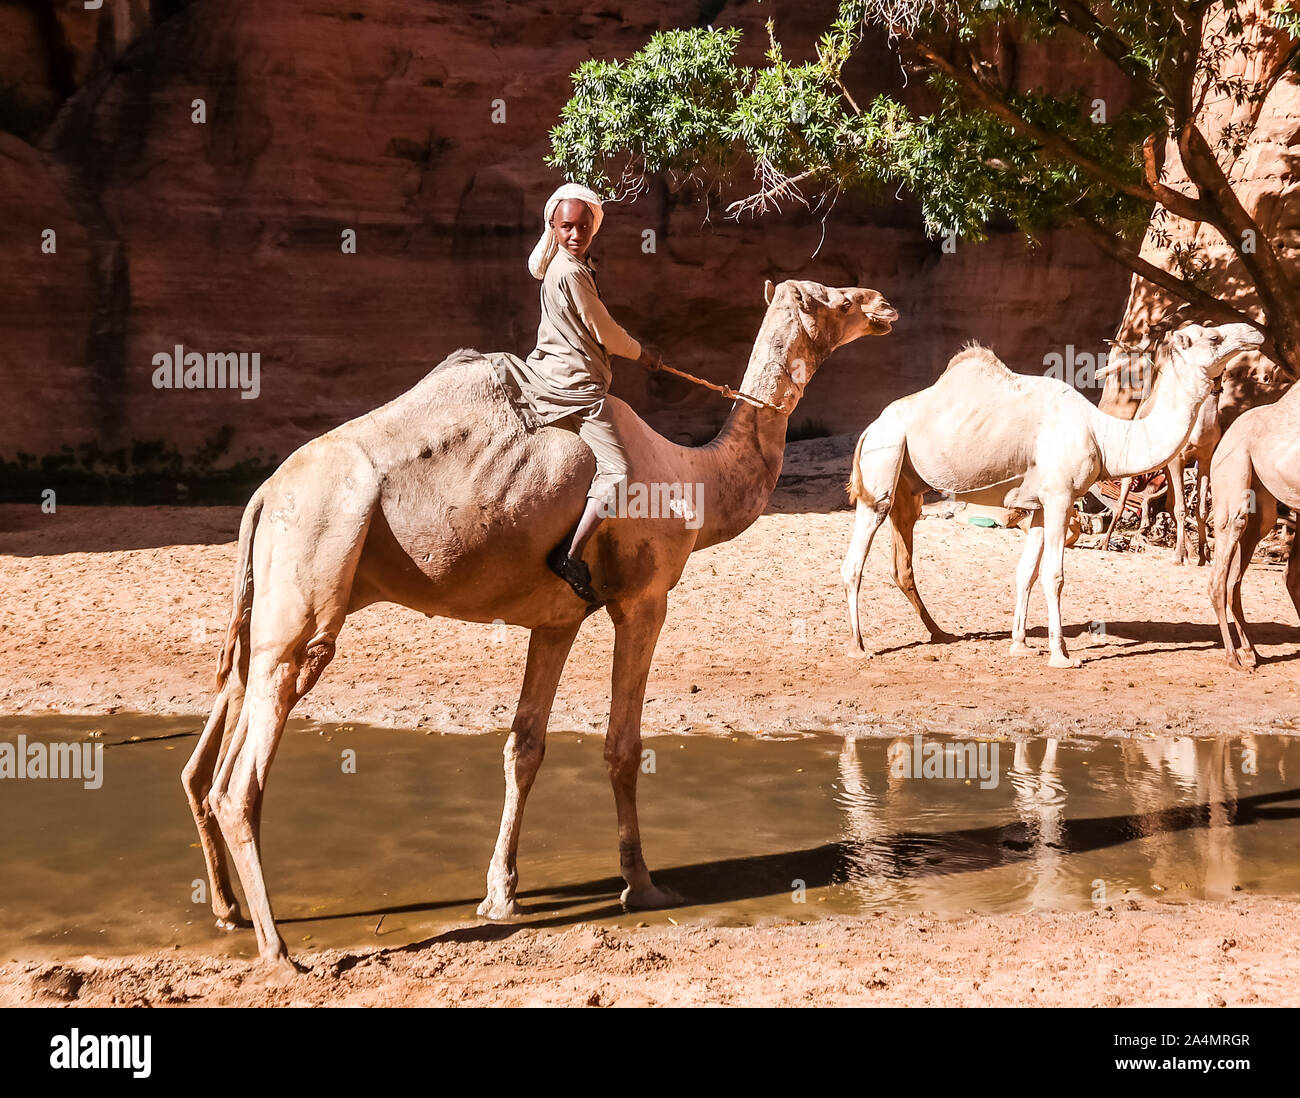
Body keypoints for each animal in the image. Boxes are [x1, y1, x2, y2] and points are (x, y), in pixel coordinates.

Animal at [182, 278, 897, 973]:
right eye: (832, 297)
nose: (883, 304)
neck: (694, 479)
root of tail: (263, 494)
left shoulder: (555, 619)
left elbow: (523, 746)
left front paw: (501, 896)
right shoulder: (645, 599)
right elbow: (623, 747)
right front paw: (643, 885)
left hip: (269, 607)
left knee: (223, 740)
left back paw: (230, 913)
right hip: (312, 580)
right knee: (243, 776)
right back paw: (278, 953)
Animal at [841, 323, 1263, 668]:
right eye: (1214, 337)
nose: (1255, 332)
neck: (1102, 435)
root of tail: (870, 427)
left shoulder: (1042, 504)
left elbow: (1026, 572)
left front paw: (1020, 645)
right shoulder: (1061, 496)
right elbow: (1054, 575)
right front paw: (1061, 655)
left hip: (907, 487)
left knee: (902, 560)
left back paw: (940, 633)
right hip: (884, 461)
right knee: (856, 559)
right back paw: (860, 647)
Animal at [1207, 380, 1300, 669]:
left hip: (1264, 512)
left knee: (1236, 580)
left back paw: (1250, 651)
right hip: (1232, 478)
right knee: (1220, 578)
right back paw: (1232, 656)